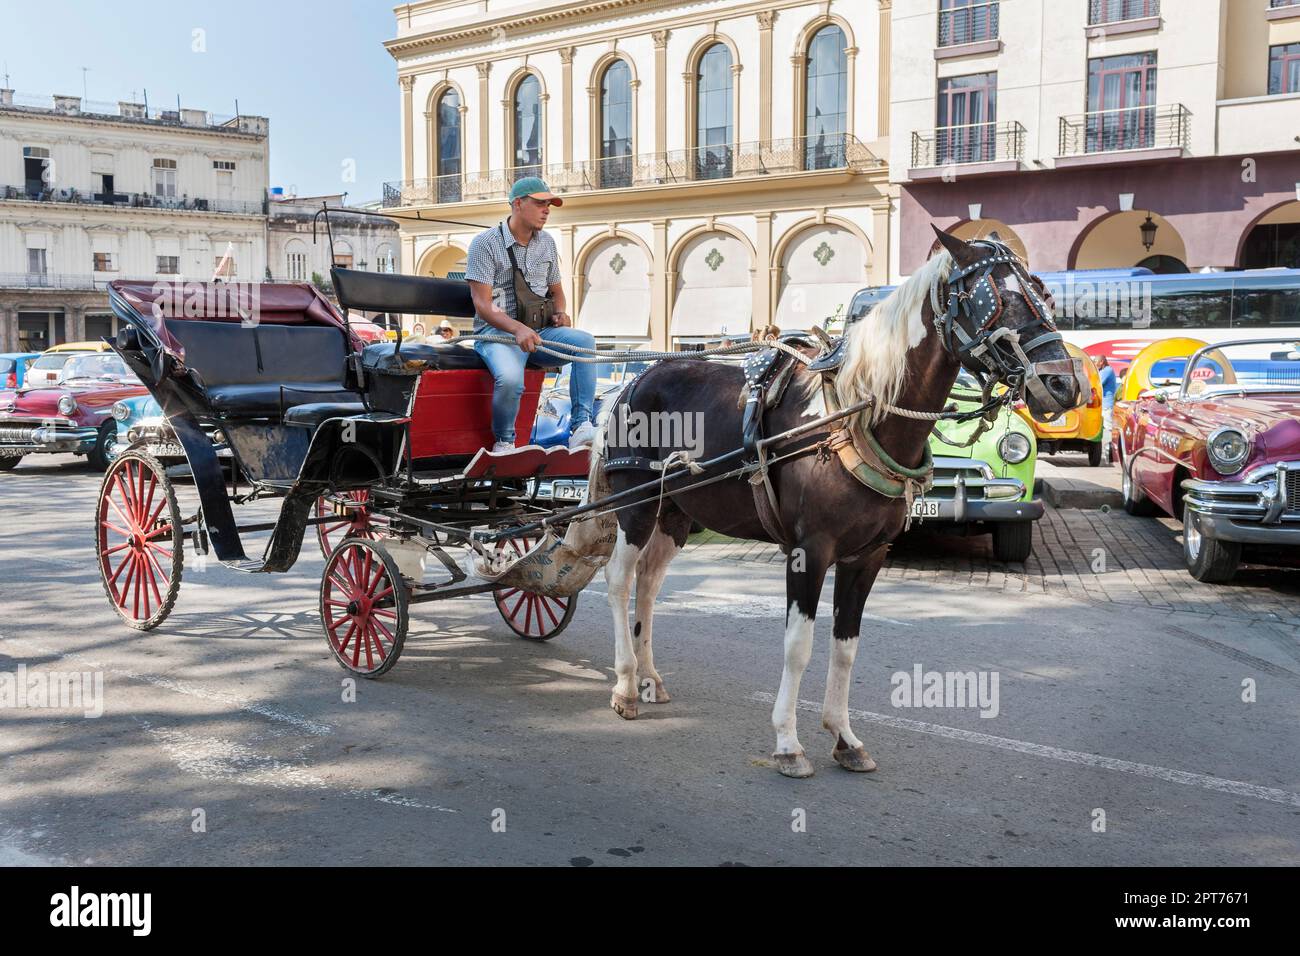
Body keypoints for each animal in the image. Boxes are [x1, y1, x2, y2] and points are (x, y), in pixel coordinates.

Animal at [585, 228, 1081, 778]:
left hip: (677, 512)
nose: (1063, 382)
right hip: (636, 503)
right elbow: (798, 645)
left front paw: (844, 737)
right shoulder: (810, 549)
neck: (856, 417)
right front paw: (787, 742)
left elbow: (846, 646)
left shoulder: (869, 555)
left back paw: (649, 677)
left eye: (1044, 294)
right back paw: (626, 685)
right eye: (995, 297)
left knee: (649, 585)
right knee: (619, 578)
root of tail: (633, 381)